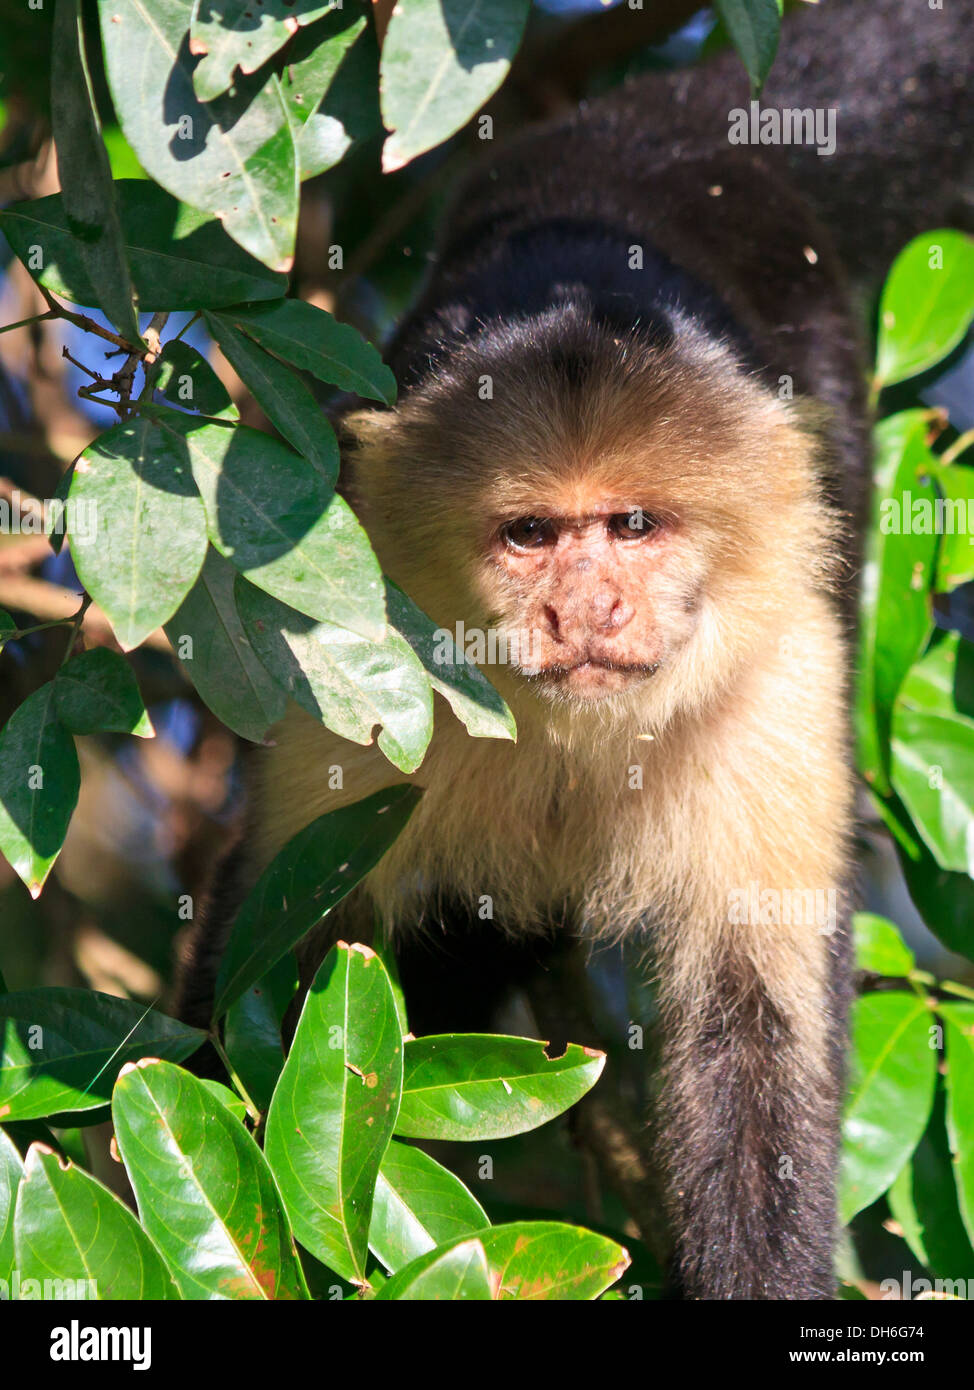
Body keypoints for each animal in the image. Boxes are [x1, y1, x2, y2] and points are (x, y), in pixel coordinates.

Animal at [173, 0, 974, 1299]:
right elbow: (270, 972)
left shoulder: (774, 668)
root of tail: (658, 141)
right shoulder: (369, 649)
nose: (585, 610)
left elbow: (756, 1042)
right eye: (530, 534)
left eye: (632, 526)